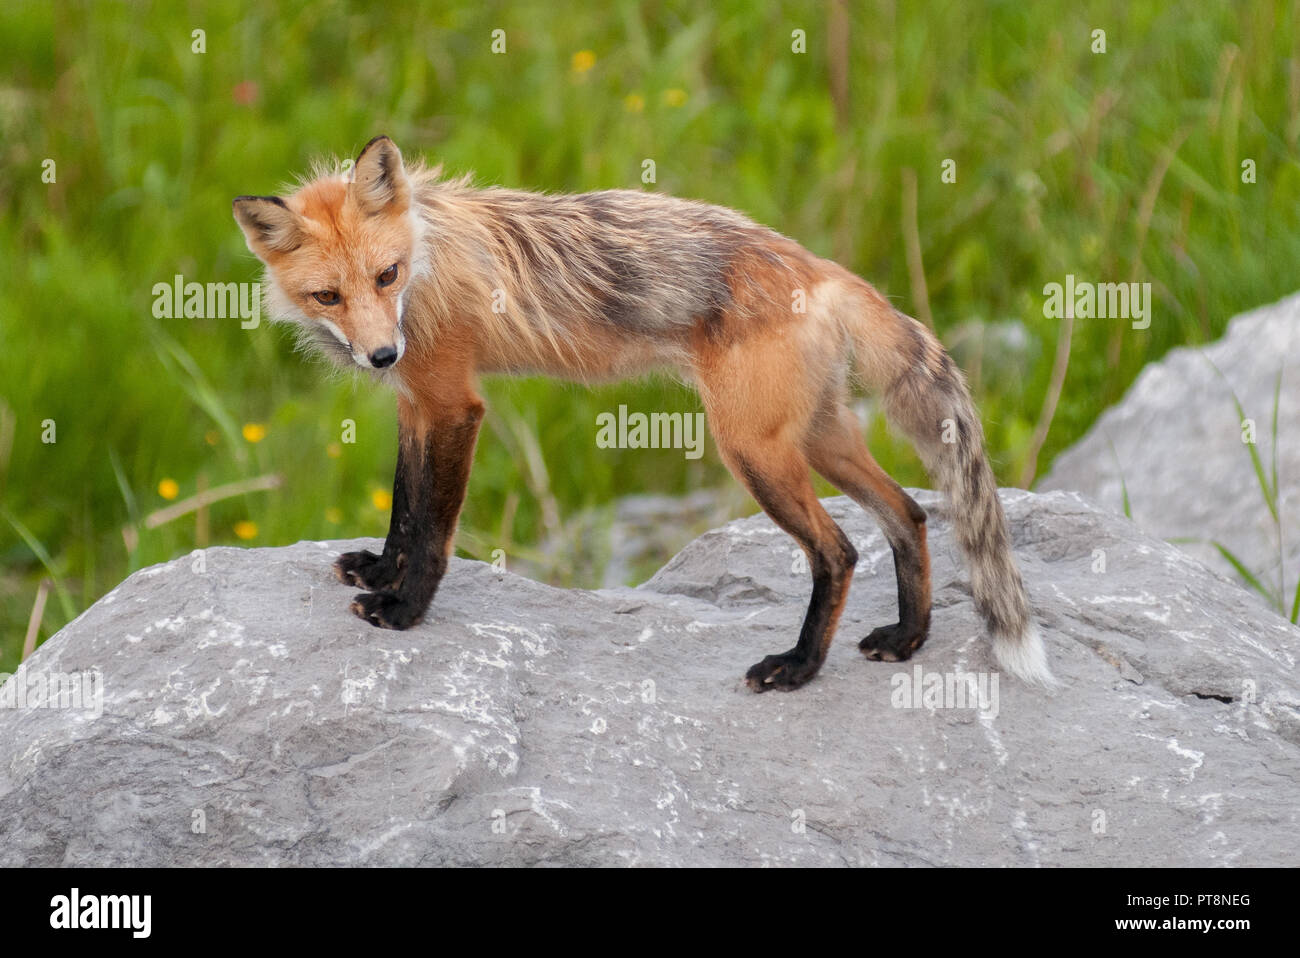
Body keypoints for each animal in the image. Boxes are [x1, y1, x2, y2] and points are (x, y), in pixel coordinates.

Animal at [232, 135, 1054, 691]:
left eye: (386, 275)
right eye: (328, 295)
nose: (379, 355)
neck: (427, 260)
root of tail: (821, 267)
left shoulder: (454, 403)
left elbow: (433, 527)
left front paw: (405, 611)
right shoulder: (415, 402)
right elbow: (403, 507)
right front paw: (380, 571)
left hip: (752, 450)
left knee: (840, 550)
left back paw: (798, 665)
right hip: (816, 438)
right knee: (909, 513)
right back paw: (909, 637)